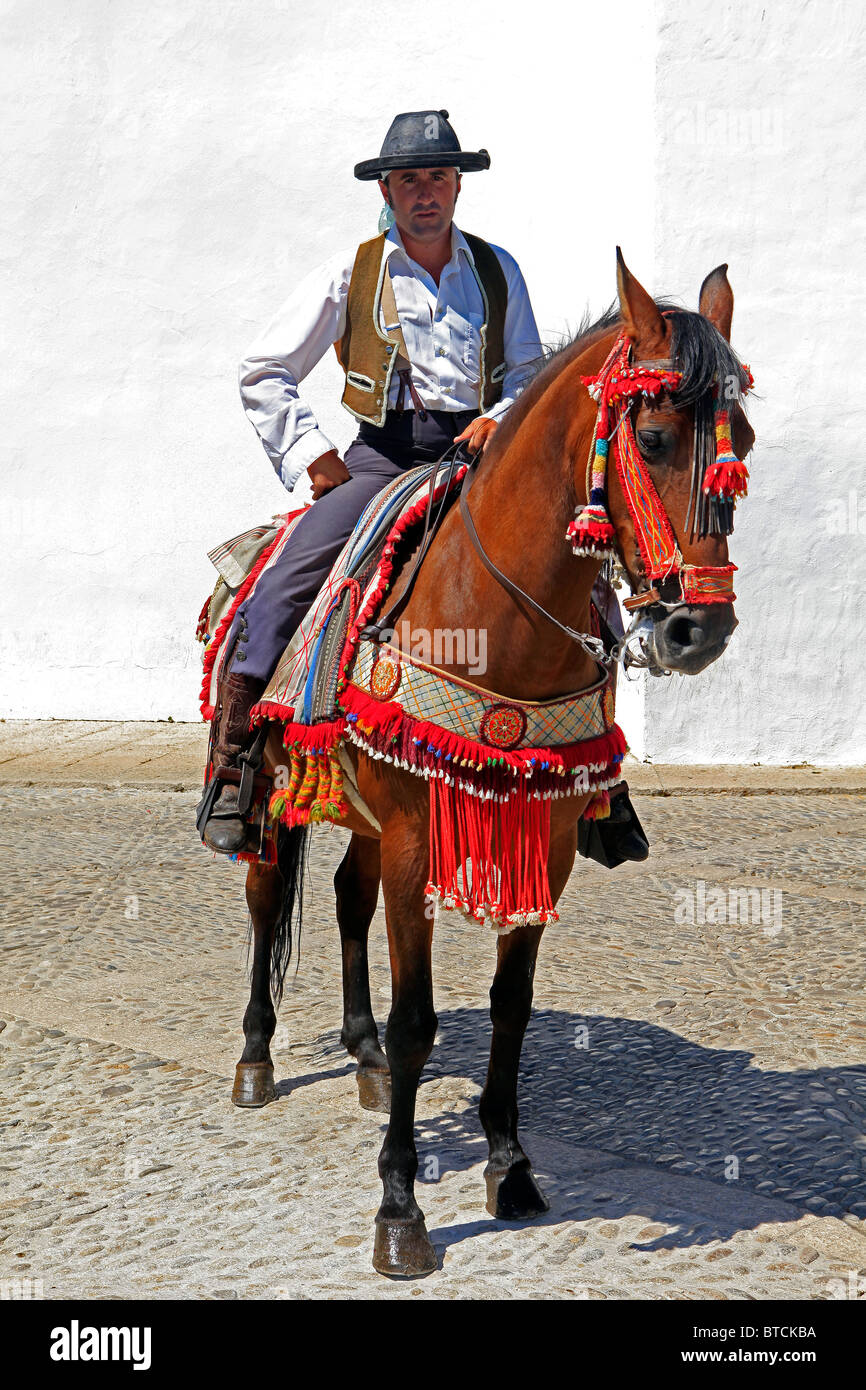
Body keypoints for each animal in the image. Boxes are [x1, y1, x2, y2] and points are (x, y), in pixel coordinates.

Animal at [226, 250, 756, 1278]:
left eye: (742, 442)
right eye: (655, 436)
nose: (696, 630)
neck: (498, 618)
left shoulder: (539, 839)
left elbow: (511, 1006)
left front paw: (510, 1169)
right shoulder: (413, 838)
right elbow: (420, 1020)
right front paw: (400, 1211)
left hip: (368, 812)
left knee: (346, 900)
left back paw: (360, 1057)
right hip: (277, 794)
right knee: (270, 899)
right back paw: (257, 1061)